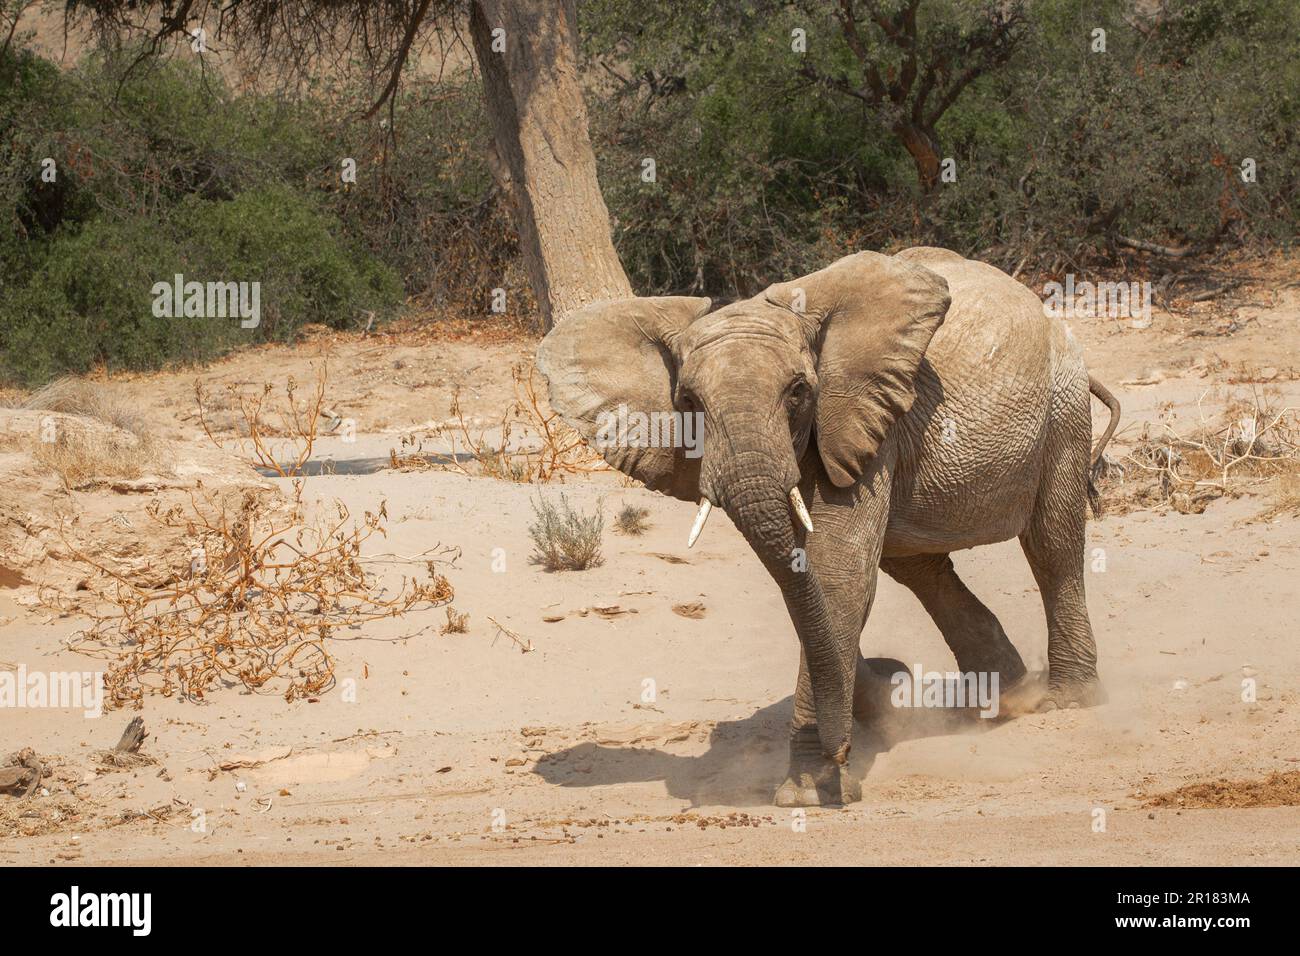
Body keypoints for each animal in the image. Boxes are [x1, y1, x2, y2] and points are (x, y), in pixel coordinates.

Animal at [535, 246, 1121, 807]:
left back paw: (1066, 699)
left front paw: (810, 792)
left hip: (1062, 404)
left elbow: (837, 577)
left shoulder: (865, 418)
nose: (841, 761)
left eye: (798, 391)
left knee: (1052, 543)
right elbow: (812, 578)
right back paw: (1002, 694)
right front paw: (866, 715)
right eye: (687, 403)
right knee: (918, 565)